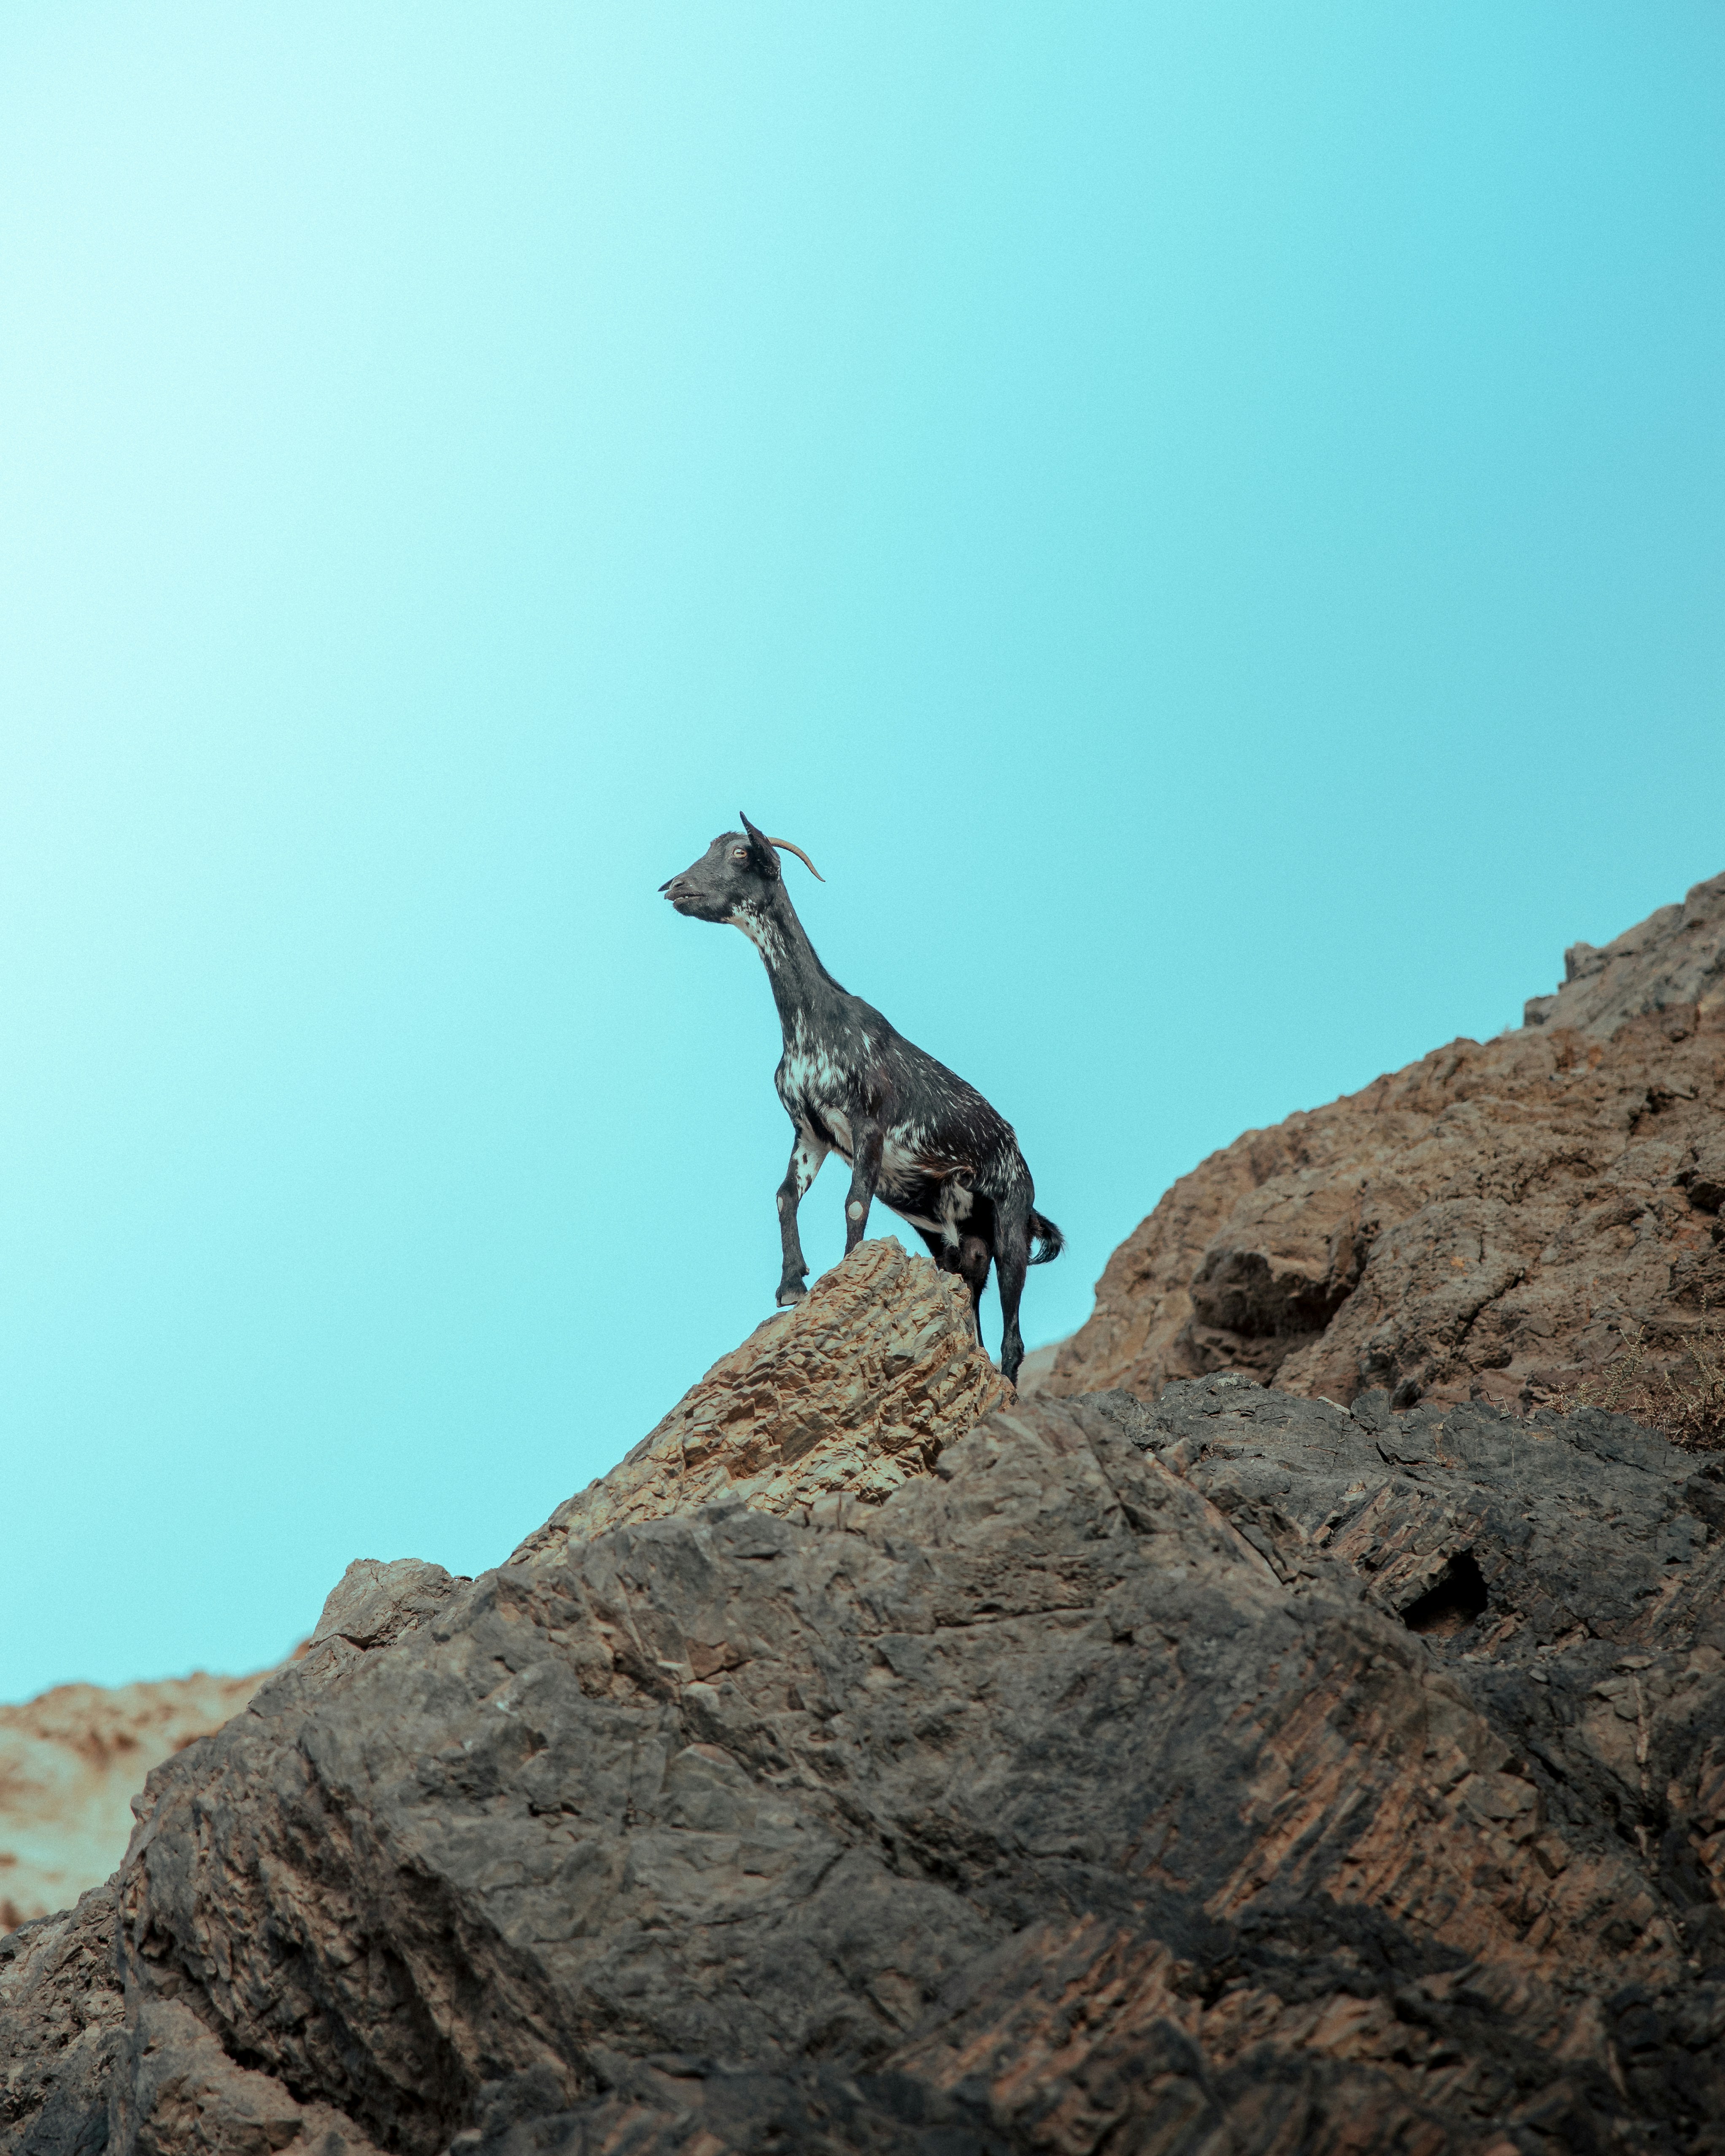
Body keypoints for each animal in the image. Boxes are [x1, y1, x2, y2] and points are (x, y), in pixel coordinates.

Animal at [660, 814, 1063, 1386]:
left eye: (740, 852)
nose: (674, 886)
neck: (813, 1024)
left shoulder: (868, 1122)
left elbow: (855, 1202)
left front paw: (841, 1270)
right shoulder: (811, 1132)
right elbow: (785, 1194)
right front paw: (791, 1285)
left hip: (1010, 1223)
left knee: (1014, 1334)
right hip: (956, 1242)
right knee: (976, 1315)